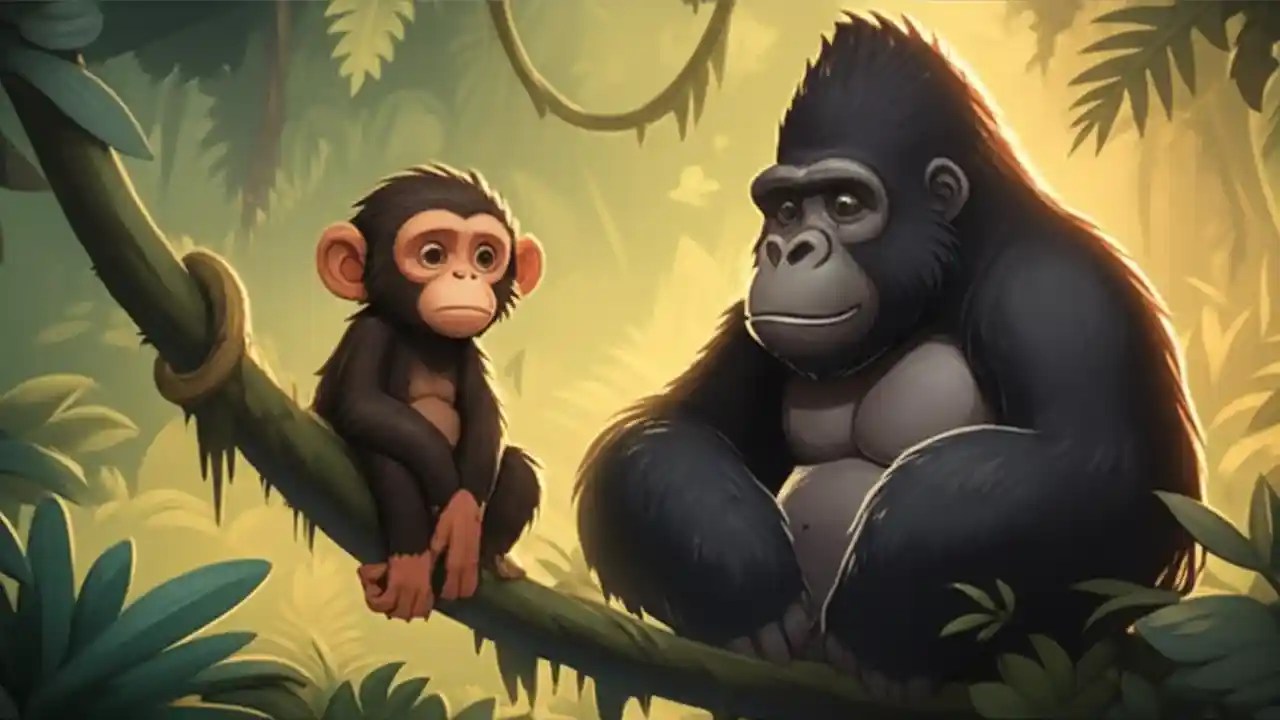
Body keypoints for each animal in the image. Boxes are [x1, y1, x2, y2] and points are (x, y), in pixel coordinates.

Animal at [312, 165, 545, 622]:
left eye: (485, 257)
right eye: (433, 255)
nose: (465, 276)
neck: (426, 339)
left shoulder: (469, 353)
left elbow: (484, 418)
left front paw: (463, 517)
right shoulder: (371, 332)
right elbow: (361, 404)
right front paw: (452, 510)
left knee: (518, 467)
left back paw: (489, 557)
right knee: (386, 458)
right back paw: (409, 565)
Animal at [573, 12, 1201, 698]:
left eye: (846, 204)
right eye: (785, 208)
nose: (787, 249)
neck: (950, 265)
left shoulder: (1058, 289)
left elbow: (1100, 468)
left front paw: (882, 613)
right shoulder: (749, 324)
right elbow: (674, 428)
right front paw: (740, 579)